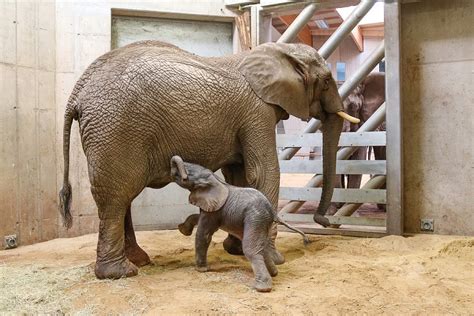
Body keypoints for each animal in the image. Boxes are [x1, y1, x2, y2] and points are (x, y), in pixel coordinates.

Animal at [57, 40, 358, 278]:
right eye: (327, 81)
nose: (323, 222)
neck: (278, 51)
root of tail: (78, 91)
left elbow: (239, 175)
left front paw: (235, 249)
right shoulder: (257, 111)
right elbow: (264, 172)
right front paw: (275, 258)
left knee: (122, 197)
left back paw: (139, 261)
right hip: (115, 128)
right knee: (117, 198)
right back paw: (120, 273)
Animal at [168, 157, 310, 292]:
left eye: (189, 174)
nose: (182, 174)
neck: (215, 180)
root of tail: (272, 211)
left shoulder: (216, 208)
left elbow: (204, 234)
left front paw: (201, 270)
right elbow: (199, 219)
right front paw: (183, 229)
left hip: (255, 218)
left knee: (250, 249)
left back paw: (262, 288)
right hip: (261, 221)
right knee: (262, 247)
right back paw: (274, 273)